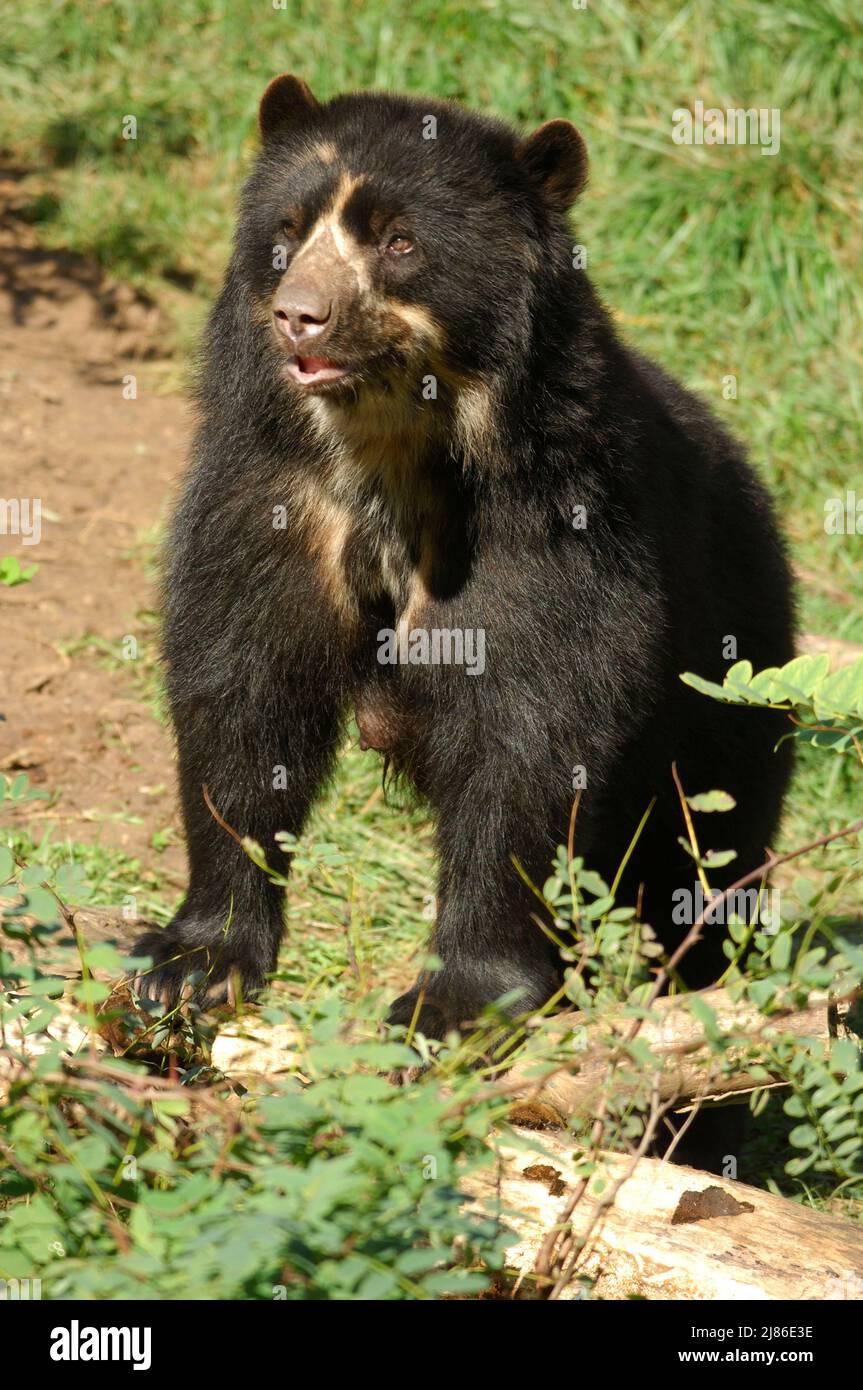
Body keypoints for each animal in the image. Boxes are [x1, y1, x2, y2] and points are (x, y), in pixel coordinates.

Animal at [132, 74, 795, 1041]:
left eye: (399, 242)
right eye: (285, 235)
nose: (300, 315)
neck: (386, 450)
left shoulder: (546, 525)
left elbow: (529, 730)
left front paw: (452, 1004)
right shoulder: (269, 500)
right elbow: (241, 696)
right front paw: (191, 966)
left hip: (732, 671)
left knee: (707, 843)